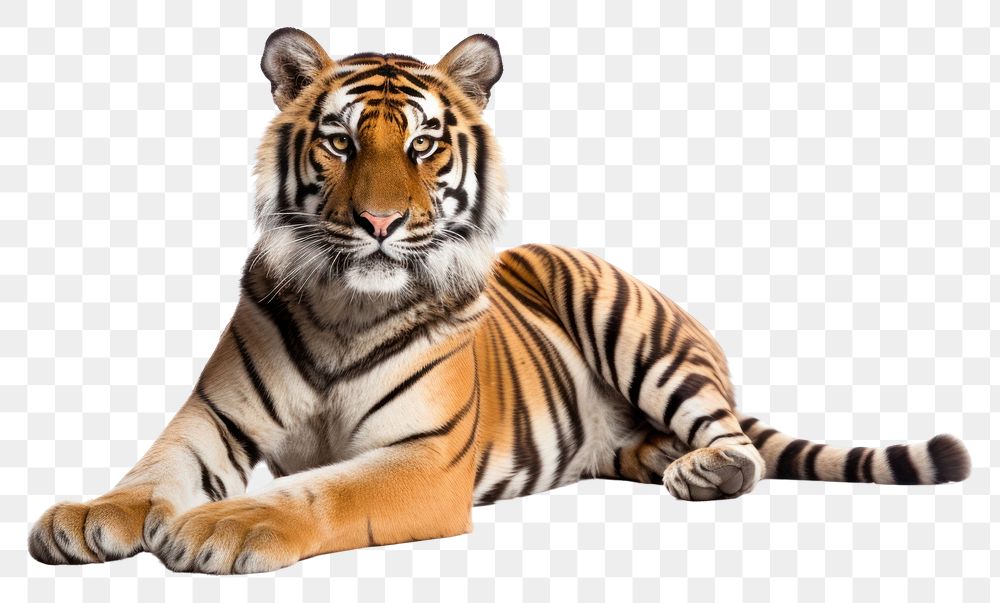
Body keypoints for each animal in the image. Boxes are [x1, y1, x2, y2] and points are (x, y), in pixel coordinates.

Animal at [28, 28, 971, 574]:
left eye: (422, 145)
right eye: (339, 143)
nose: (379, 222)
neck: (347, 308)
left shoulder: (421, 456)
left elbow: (318, 492)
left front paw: (222, 524)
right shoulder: (212, 414)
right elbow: (152, 470)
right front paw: (86, 516)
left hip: (638, 329)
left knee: (739, 443)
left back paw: (702, 468)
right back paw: (660, 458)